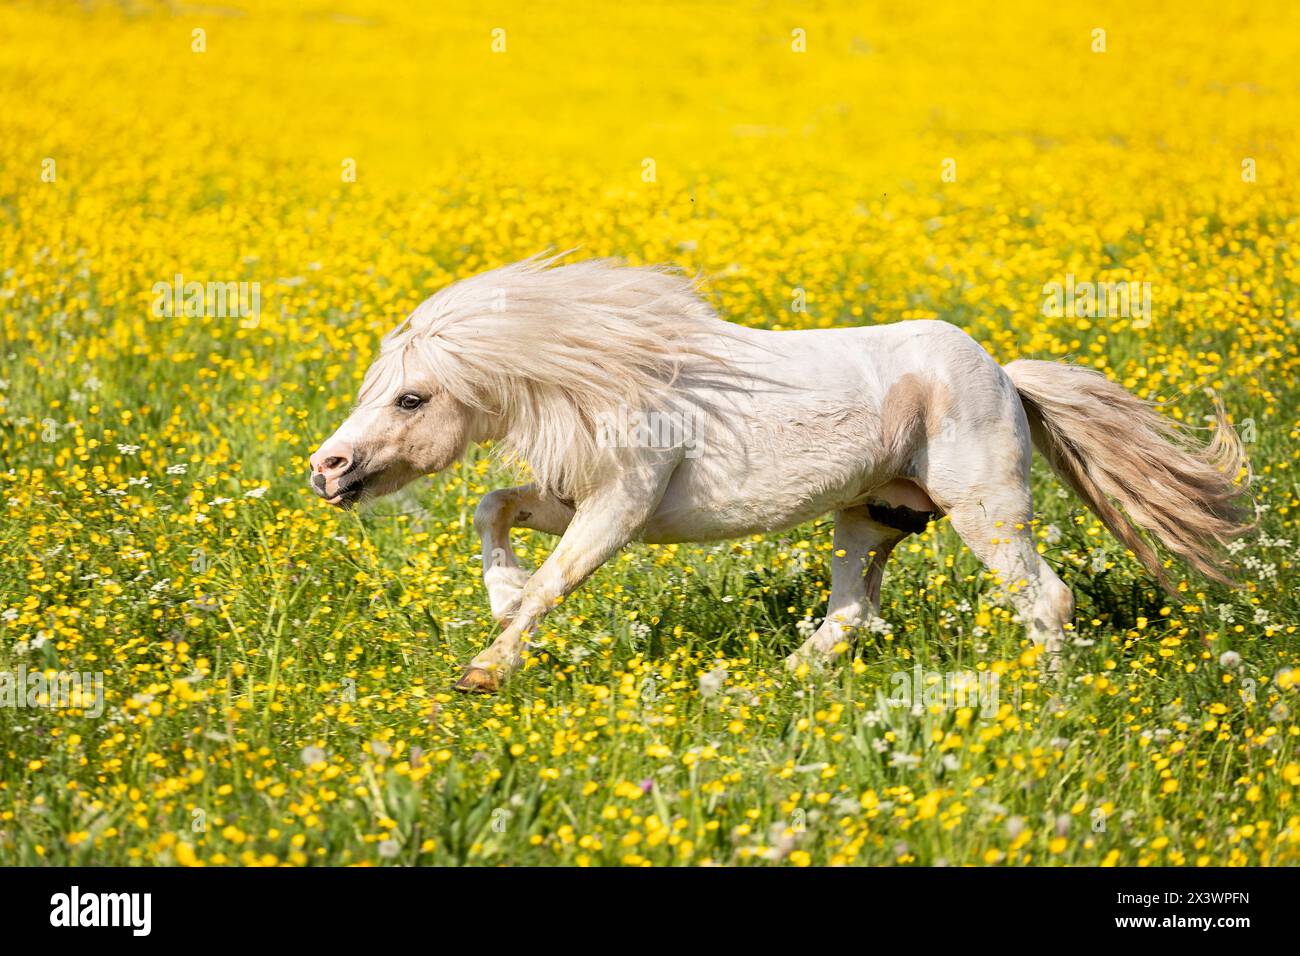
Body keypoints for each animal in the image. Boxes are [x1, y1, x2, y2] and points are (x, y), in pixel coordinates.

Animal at [308, 255, 1251, 692]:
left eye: (412, 398)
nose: (327, 470)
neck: (605, 380)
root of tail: (1007, 377)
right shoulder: (573, 497)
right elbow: (493, 508)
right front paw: (498, 601)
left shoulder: (620, 508)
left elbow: (554, 581)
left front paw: (484, 668)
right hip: (871, 516)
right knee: (851, 615)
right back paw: (770, 687)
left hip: (985, 510)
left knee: (1045, 599)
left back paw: (1050, 702)